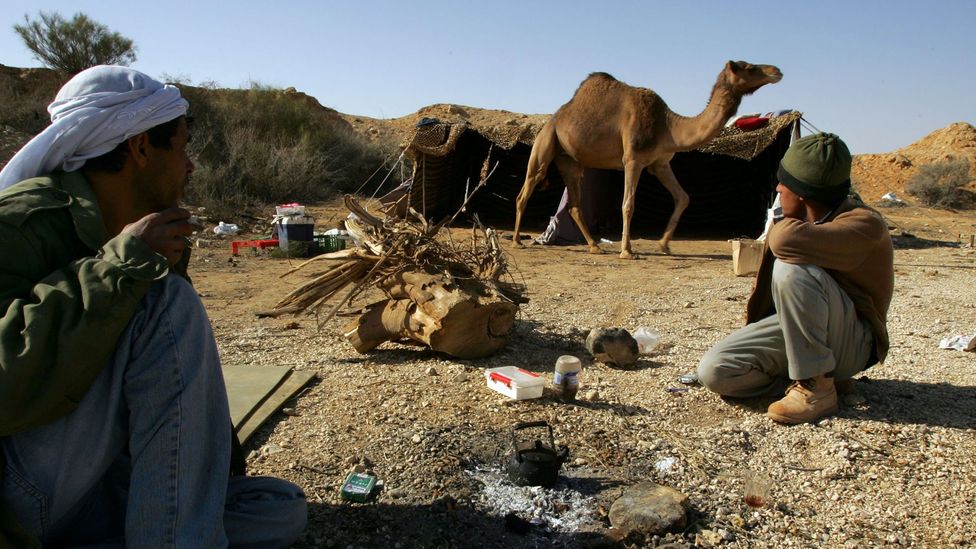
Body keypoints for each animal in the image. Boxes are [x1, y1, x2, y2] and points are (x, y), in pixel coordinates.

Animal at [512, 60, 783, 259]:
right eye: (748, 66)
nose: (776, 71)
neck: (668, 125)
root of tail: (553, 119)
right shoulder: (633, 159)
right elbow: (628, 204)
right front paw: (627, 251)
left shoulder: (659, 163)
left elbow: (683, 197)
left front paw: (664, 245)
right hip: (545, 144)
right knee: (524, 192)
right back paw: (516, 242)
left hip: (570, 162)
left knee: (575, 205)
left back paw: (594, 246)